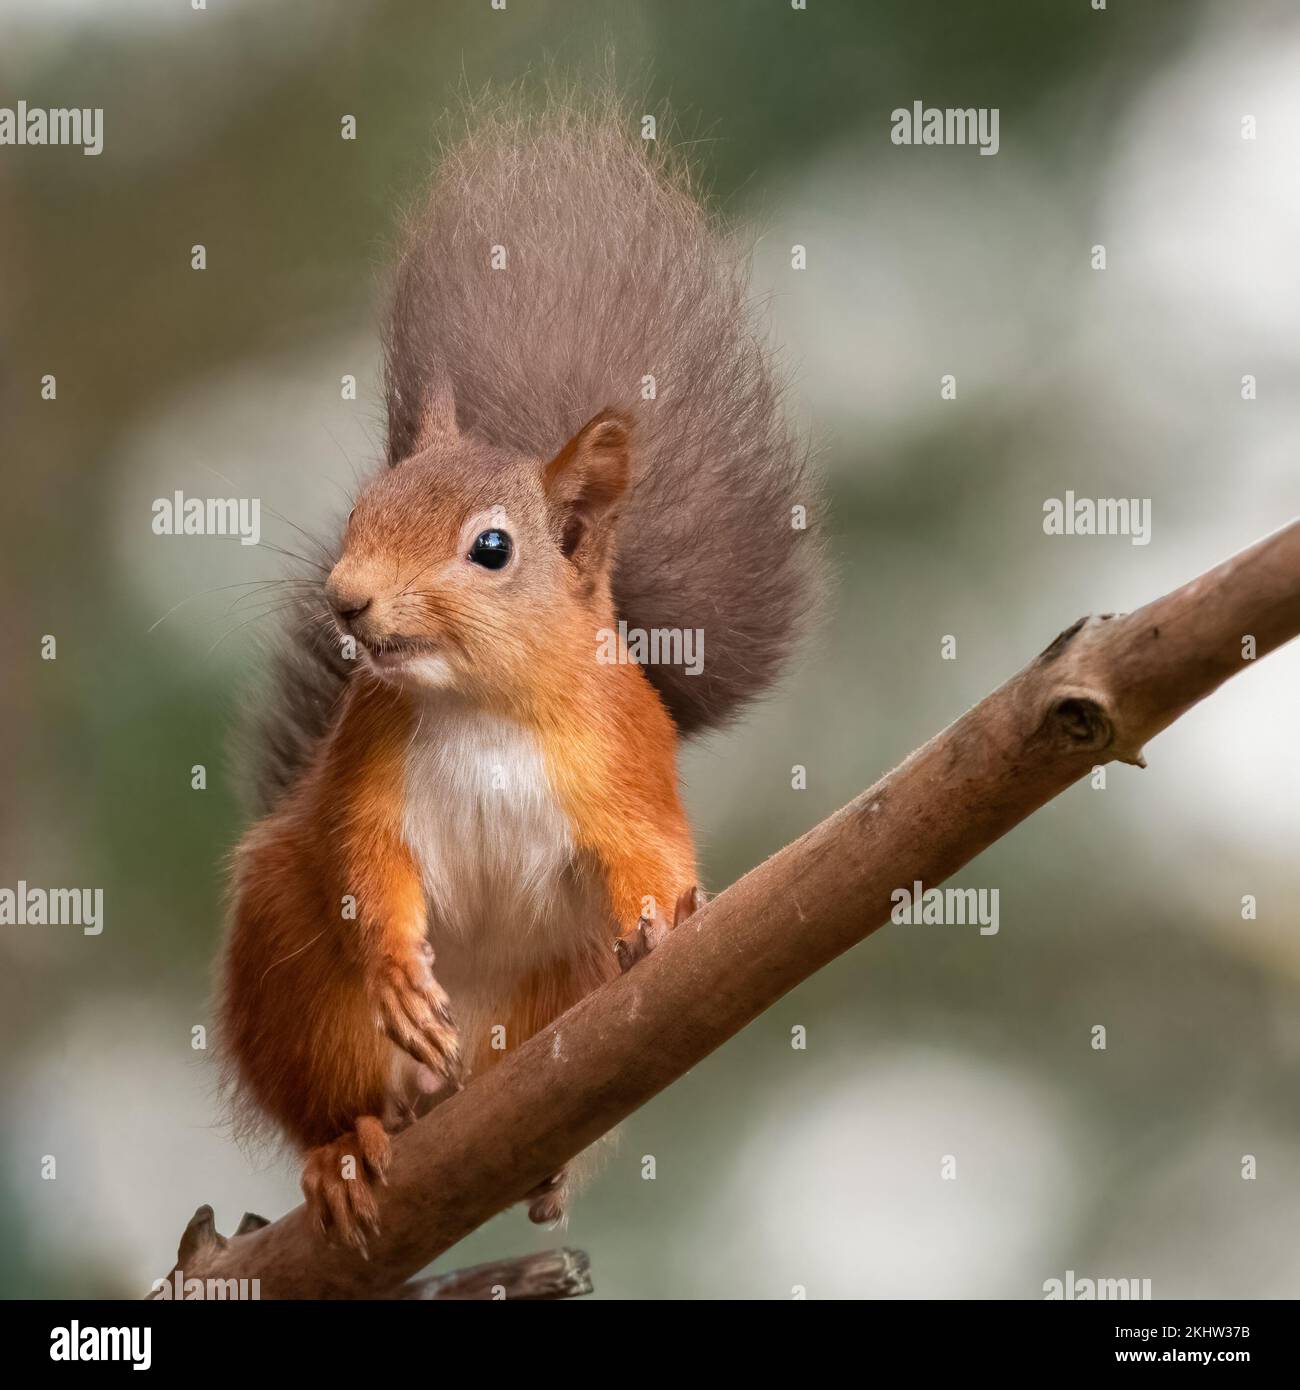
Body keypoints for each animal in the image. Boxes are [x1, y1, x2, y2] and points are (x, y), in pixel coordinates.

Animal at [218, 89, 816, 1252]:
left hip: (553, 995)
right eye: (364, 509)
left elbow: (652, 851)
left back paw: (550, 1162)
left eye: (491, 548)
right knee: (332, 1097)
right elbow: (363, 860)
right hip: (294, 976)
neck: (483, 705)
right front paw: (399, 965)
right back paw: (344, 1153)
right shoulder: (364, 768)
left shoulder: (627, 759)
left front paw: (654, 924)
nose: (345, 599)